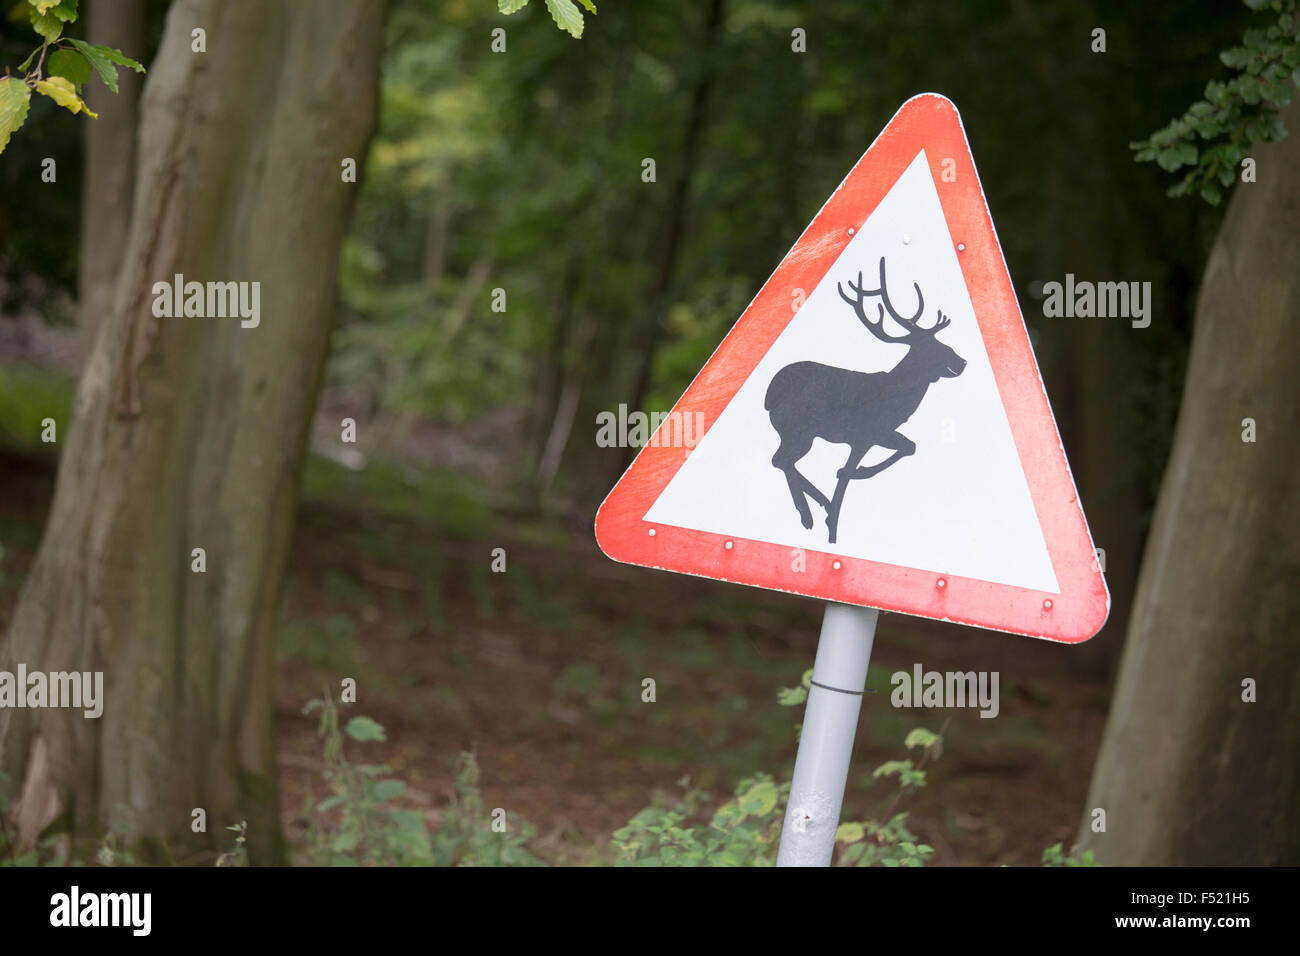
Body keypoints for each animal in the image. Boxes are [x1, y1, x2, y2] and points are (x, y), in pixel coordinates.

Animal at [765, 256, 966, 544]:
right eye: (932, 346)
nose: (962, 362)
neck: (899, 396)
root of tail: (769, 396)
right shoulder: (866, 434)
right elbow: (892, 454)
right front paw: (844, 488)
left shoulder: (879, 433)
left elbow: (909, 446)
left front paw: (846, 482)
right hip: (800, 431)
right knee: (781, 460)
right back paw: (814, 509)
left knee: (781, 460)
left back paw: (815, 508)